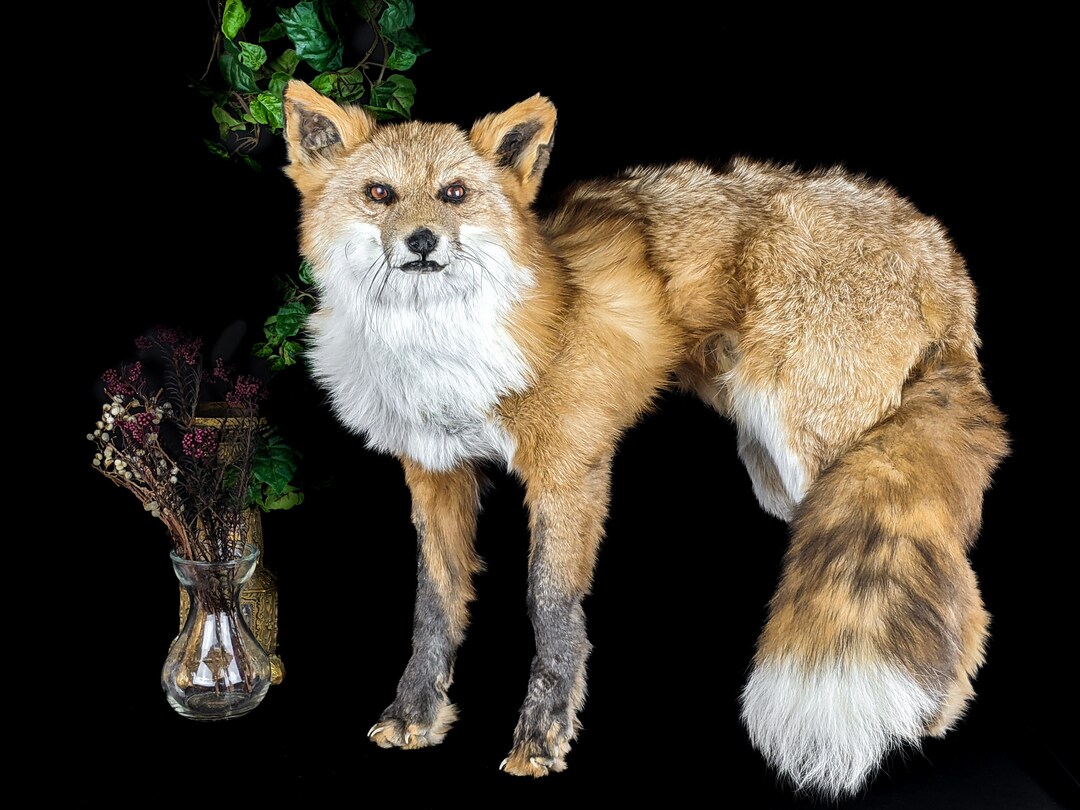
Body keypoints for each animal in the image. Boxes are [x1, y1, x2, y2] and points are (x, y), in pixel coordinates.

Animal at [281, 79, 1008, 797]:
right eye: (380, 193)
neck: (443, 347)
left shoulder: (570, 470)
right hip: (780, 474)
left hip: (821, 456)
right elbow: (433, 610)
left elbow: (551, 611)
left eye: (454, 193)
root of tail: (938, 248)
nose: (423, 241)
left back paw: (934, 719)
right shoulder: (435, 472)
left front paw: (542, 737)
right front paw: (417, 715)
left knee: (960, 590)